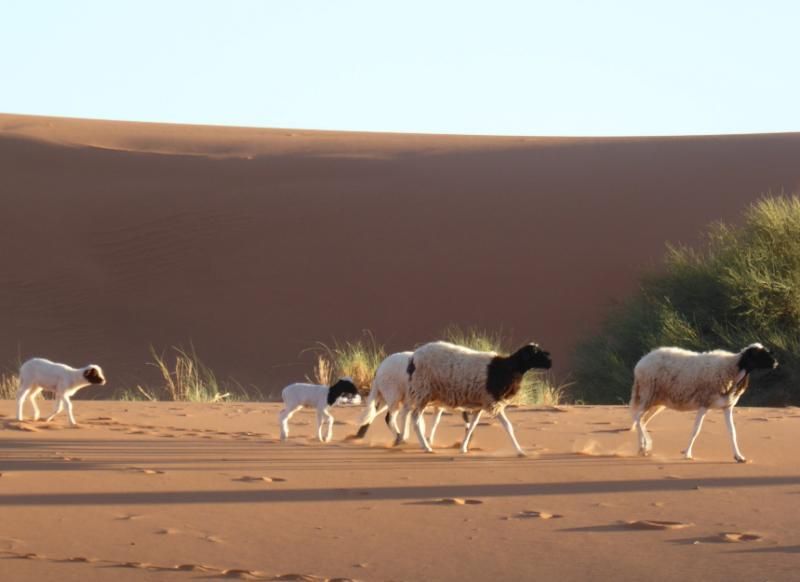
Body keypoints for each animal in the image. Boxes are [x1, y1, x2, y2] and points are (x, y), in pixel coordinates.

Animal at [406, 341, 552, 455]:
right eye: (535, 352)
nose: (550, 362)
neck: (508, 369)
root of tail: (414, 357)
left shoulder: (480, 405)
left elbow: (472, 425)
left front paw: (463, 448)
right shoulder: (492, 402)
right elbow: (508, 426)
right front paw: (520, 451)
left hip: (423, 393)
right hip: (422, 391)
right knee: (415, 418)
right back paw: (426, 447)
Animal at [630, 343, 778, 462]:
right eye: (758, 354)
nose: (776, 363)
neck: (733, 368)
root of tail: (641, 361)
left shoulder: (727, 406)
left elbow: (732, 432)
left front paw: (739, 456)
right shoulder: (704, 403)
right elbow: (696, 430)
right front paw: (687, 454)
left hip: (656, 401)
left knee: (642, 420)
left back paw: (642, 448)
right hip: (648, 394)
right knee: (638, 418)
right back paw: (645, 446)